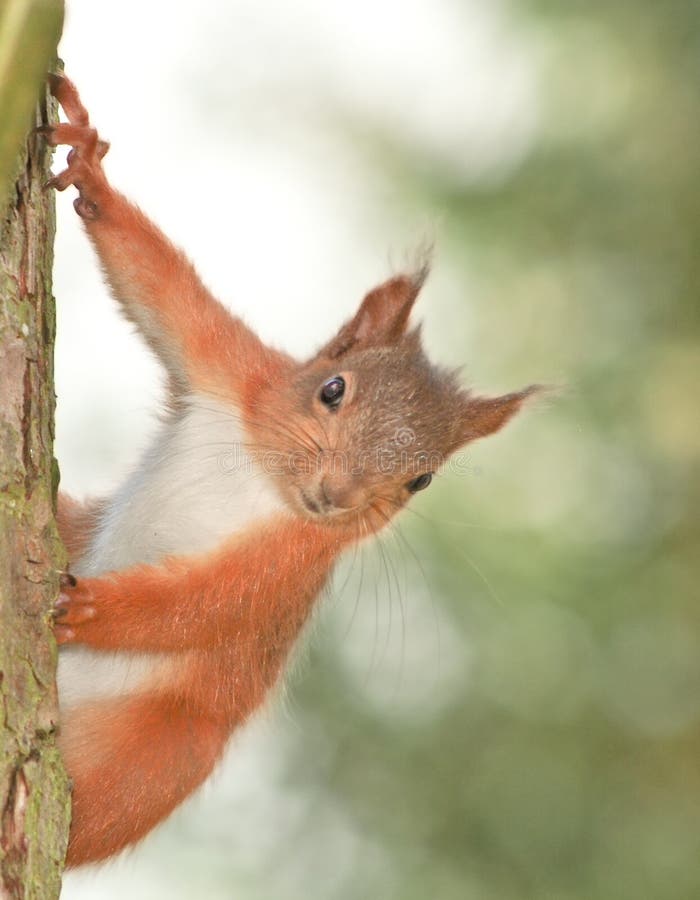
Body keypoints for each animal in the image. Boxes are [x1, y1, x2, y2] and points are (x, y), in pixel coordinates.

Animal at [40, 74, 538, 868]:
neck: (261, 482)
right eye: (332, 389)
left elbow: (202, 605)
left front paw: (94, 609)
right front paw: (90, 168)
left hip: (164, 752)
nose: (334, 496)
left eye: (421, 481)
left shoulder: (287, 566)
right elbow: (156, 281)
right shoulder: (231, 368)